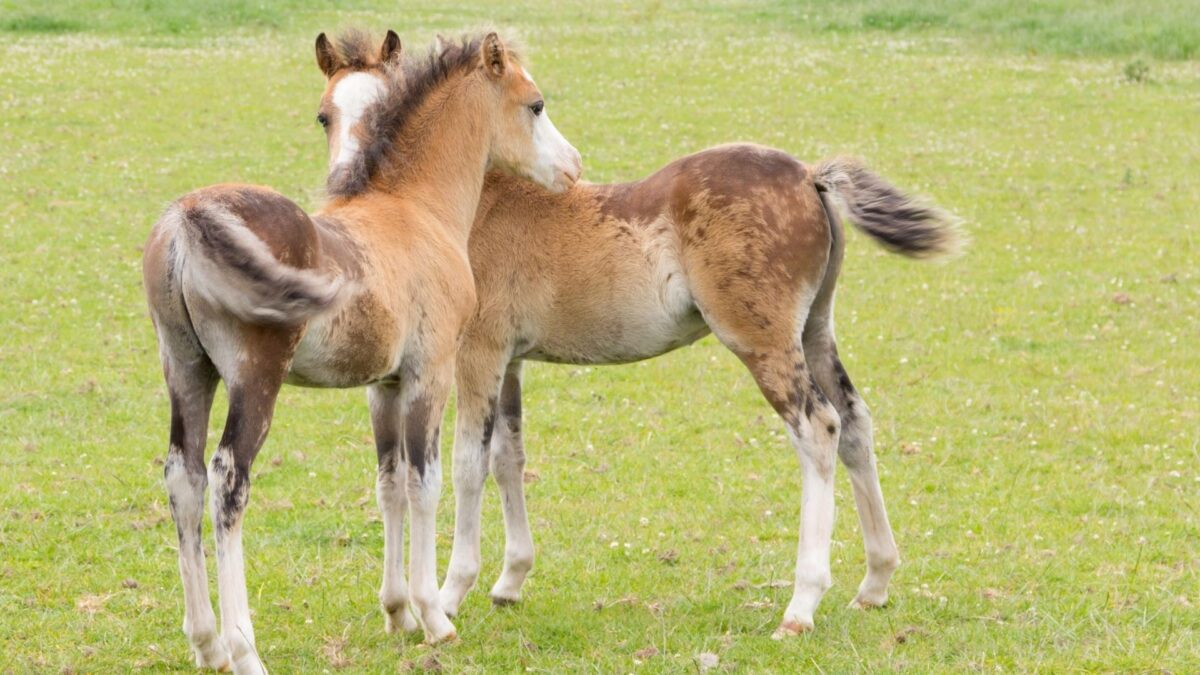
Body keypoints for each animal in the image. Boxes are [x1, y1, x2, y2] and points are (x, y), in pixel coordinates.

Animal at [142, 29, 581, 671]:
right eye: (536, 104)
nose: (572, 166)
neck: (416, 209)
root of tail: (189, 218)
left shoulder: (383, 385)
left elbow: (389, 481)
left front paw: (397, 612)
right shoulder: (431, 372)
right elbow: (426, 481)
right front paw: (434, 617)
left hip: (187, 369)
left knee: (184, 477)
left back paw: (205, 643)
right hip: (254, 376)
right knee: (227, 481)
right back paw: (243, 647)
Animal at [435, 146, 961, 638]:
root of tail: (808, 176)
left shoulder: (478, 351)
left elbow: (467, 464)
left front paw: (448, 596)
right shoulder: (511, 360)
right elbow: (508, 458)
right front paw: (510, 581)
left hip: (762, 342)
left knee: (818, 427)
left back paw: (800, 607)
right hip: (815, 330)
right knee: (854, 422)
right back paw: (875, 582)